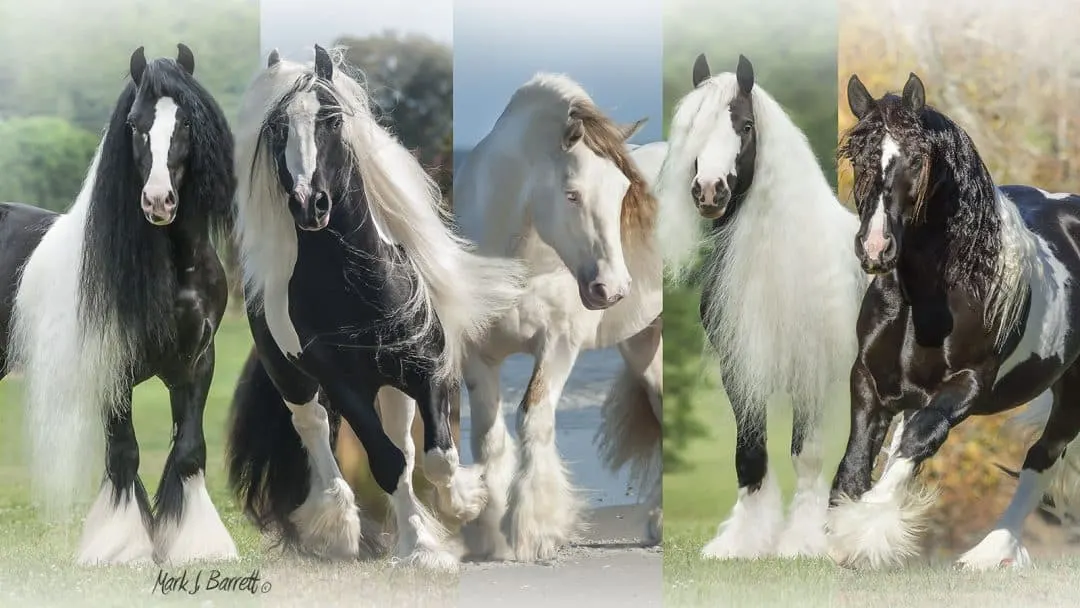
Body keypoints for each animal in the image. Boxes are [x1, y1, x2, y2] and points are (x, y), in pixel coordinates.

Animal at [1, 45, 237, 565]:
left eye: (187, 121)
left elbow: (189, 450)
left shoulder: (198, 363)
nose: (158, 201)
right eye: (134, 123)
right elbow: (124, 452)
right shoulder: (109, 367)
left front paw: (193, 544)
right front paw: (120, 545)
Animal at [225, 46, 525, 570]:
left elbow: (436, 457)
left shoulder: (426, 369)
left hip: (390, 384)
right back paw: (341, 529)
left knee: (403, 440)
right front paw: (422, 546)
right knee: (315, 428)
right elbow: (387, 463)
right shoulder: (343, 385)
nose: (310, 205)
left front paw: (463, 505)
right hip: (296, 379)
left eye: (330, 119)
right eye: (278, 129)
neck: (354, 286)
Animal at [454, 72, 663, 562]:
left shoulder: (558, 344)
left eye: (623, 191)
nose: (613, 288)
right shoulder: (477, 356)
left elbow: (534, 417)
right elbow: (488, 437)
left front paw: (533, 530)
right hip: (644, 347)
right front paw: (492, 535)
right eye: (573, 194)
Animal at [660, 54, 868, 559]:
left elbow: (807, 453)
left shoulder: (809, 367)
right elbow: (750, 452)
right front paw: (744, 540)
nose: (709, 190)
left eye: (745, 125)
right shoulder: (739, 367)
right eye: (693, 127)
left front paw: (803, 541)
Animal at [826, 72, 1080, 570]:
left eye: (917, 159)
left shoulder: (967, 385)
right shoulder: (870, 380)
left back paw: (987, 554)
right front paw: (836, 536)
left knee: (1041, 458)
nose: (875, 247)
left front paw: (866, 530)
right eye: (858, 156)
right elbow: (857, 461)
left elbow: (920, 440)